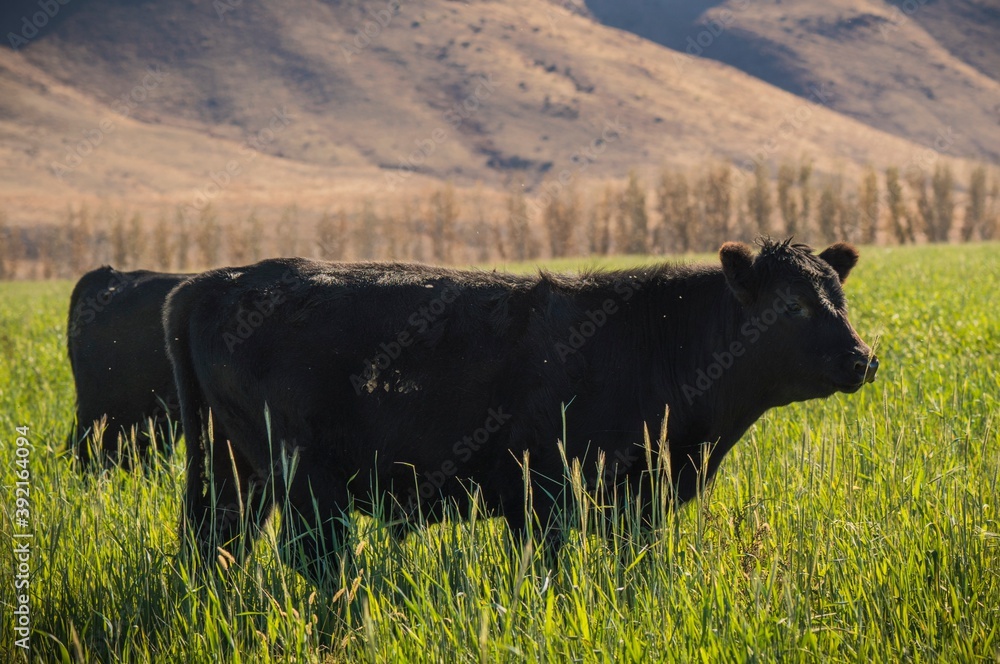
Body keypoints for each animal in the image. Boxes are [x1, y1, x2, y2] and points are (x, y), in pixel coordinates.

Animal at [164, 238, 878, 582]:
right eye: (792, 306)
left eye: (839, 295)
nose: (863, 359)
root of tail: (211, 281)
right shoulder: (561, 496)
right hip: (306, 484)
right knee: (312, 562)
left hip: (232, 471)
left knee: (219, 546)